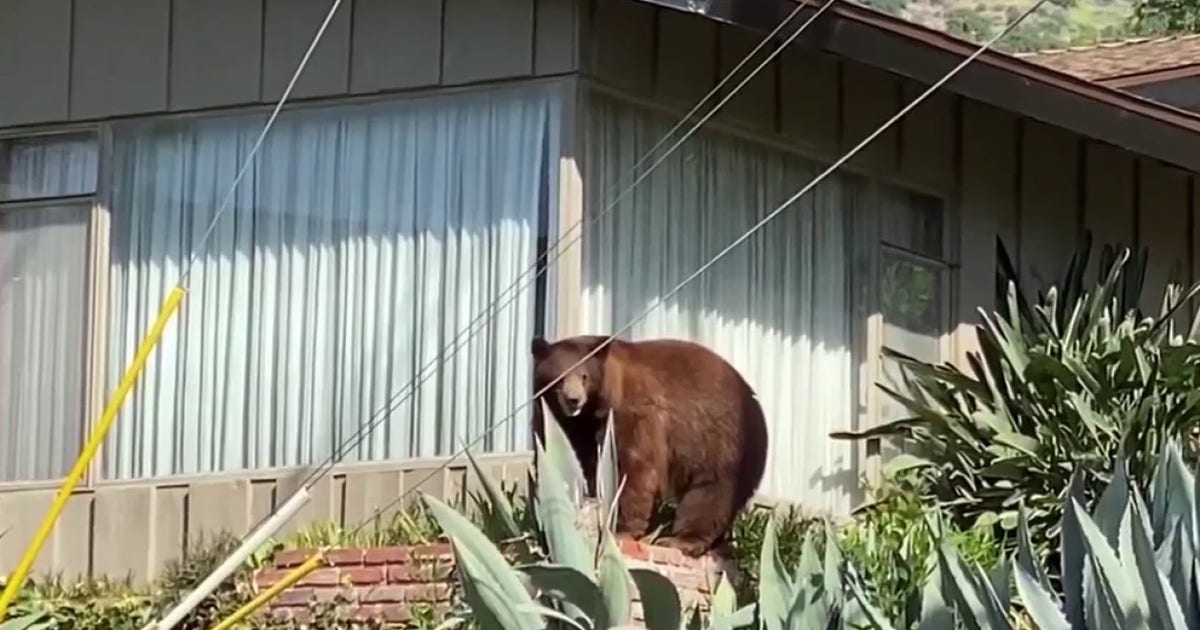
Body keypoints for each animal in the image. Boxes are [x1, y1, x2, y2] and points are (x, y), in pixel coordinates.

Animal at [530, 334, 769, 558]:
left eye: (584, 376)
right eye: (559, 377)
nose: (574, 400)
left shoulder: (634, 413)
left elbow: (635, 469)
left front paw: (621, 529)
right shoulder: (568, 425)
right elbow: (582, 462)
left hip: (721, 444)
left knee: (709, 494)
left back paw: (681, 540)